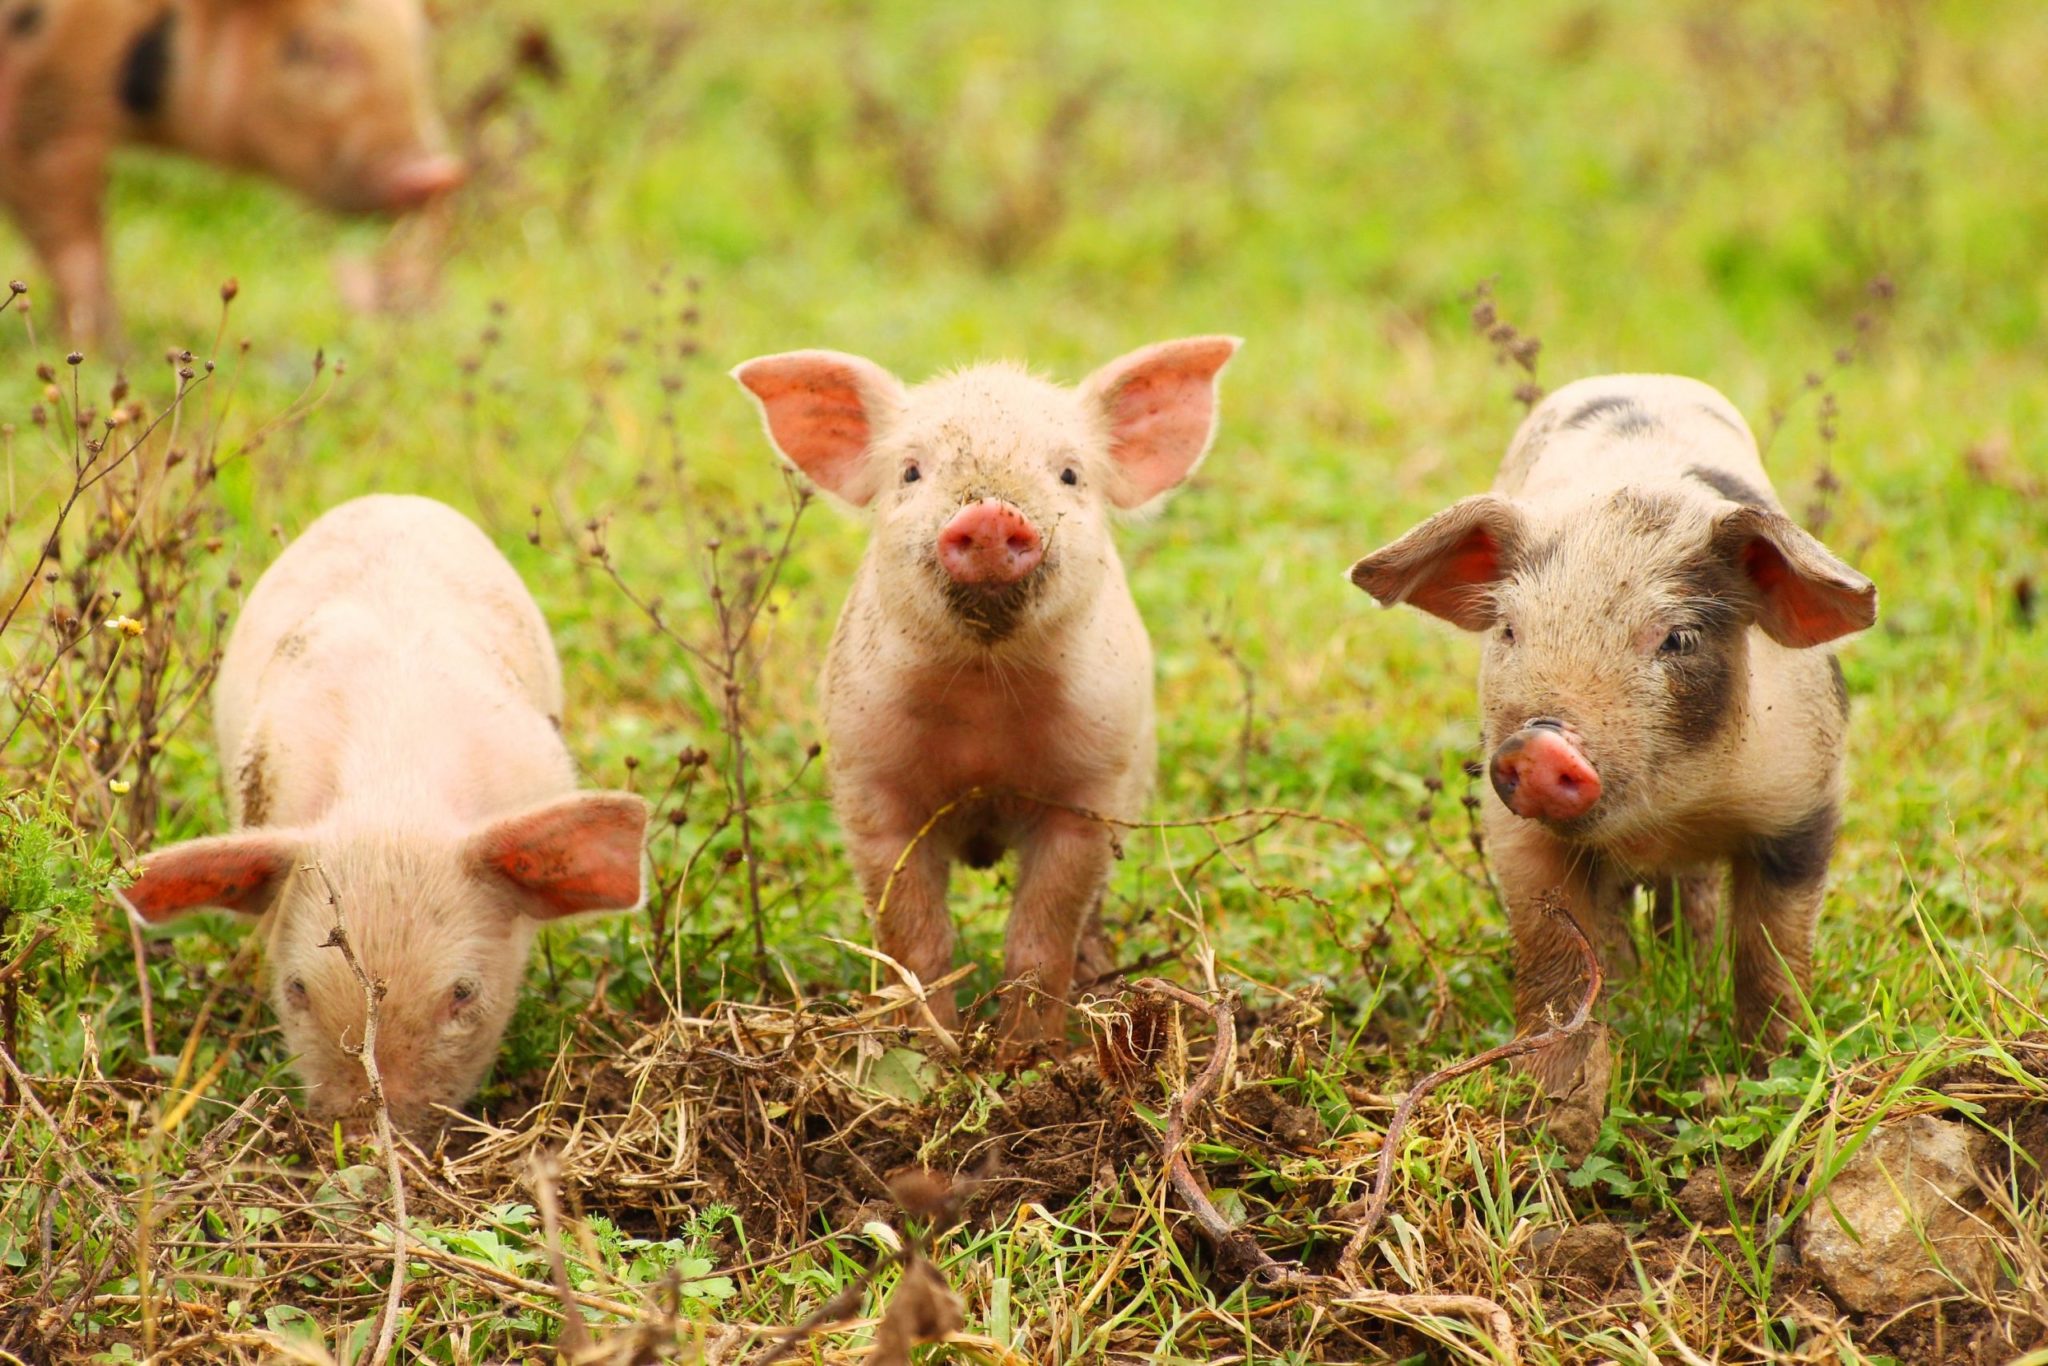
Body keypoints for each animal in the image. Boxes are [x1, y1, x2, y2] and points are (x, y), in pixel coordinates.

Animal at [0, 0, 463, 339]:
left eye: (419, 48)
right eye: (317, 48)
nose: (437, 176)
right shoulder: (47, 108)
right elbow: (76, 244)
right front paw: (103, 347)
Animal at [733, 337, 1241, 1047]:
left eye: (1069, 475)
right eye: (911, 472)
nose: (991, 513)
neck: (983, 702)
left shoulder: (1089, 793)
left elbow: (1039, 938)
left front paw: (1029, 1055)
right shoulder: (870, 785)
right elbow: (914, 938)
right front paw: (930, 1050)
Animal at [1348, 375, 1876, 1152]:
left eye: (1678, 638)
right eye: (1511, 630)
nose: (1541, 743)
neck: (1667, 812)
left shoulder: (1803, 799)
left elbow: (1773, 955)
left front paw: (1767, 1077)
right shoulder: (1518, 834)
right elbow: (1557, 965)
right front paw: (1557, 1117)